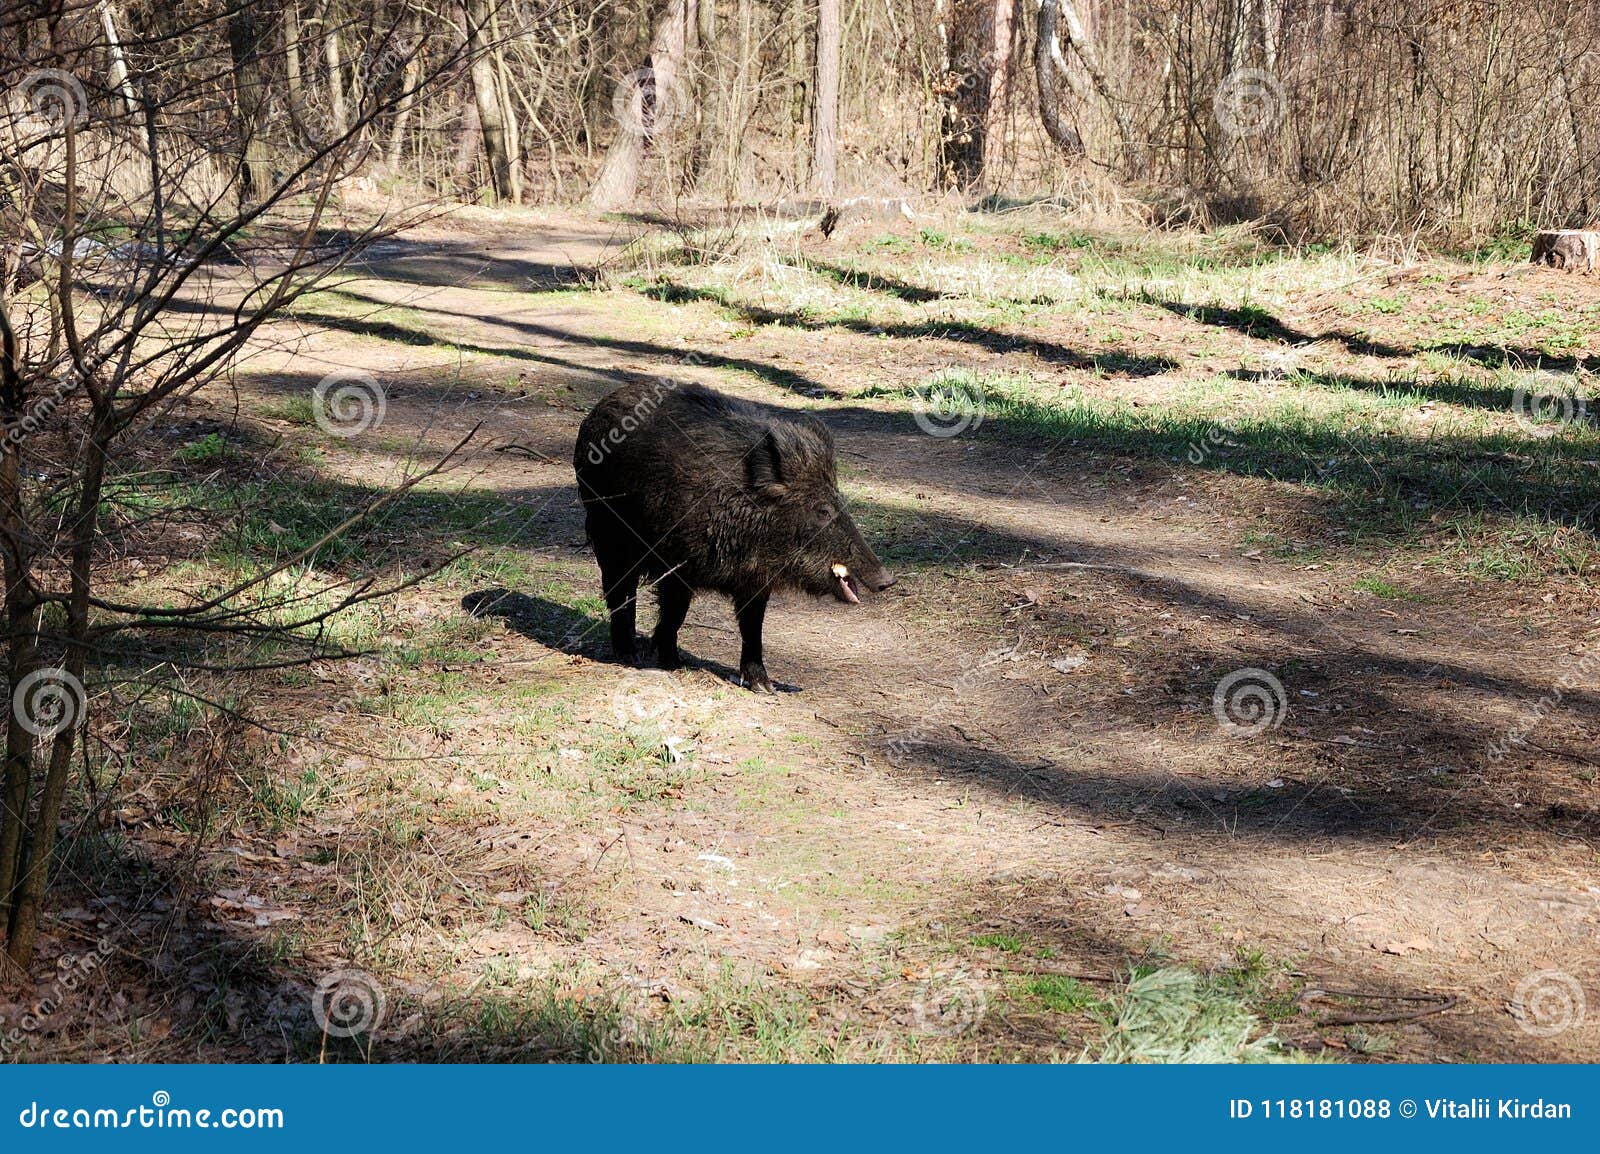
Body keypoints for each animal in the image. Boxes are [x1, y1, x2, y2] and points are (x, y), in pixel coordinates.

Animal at [574, 380, 894, 692]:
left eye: (840, 500)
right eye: (823, 510)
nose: (887, 581)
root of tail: (599, 408)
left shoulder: (754, 580)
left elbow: (753, 626)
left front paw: (764, 687)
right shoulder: (678, 563)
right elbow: (676, 611)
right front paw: (672, 664)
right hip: (607, 532)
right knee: (619, 591)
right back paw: (628, 654)